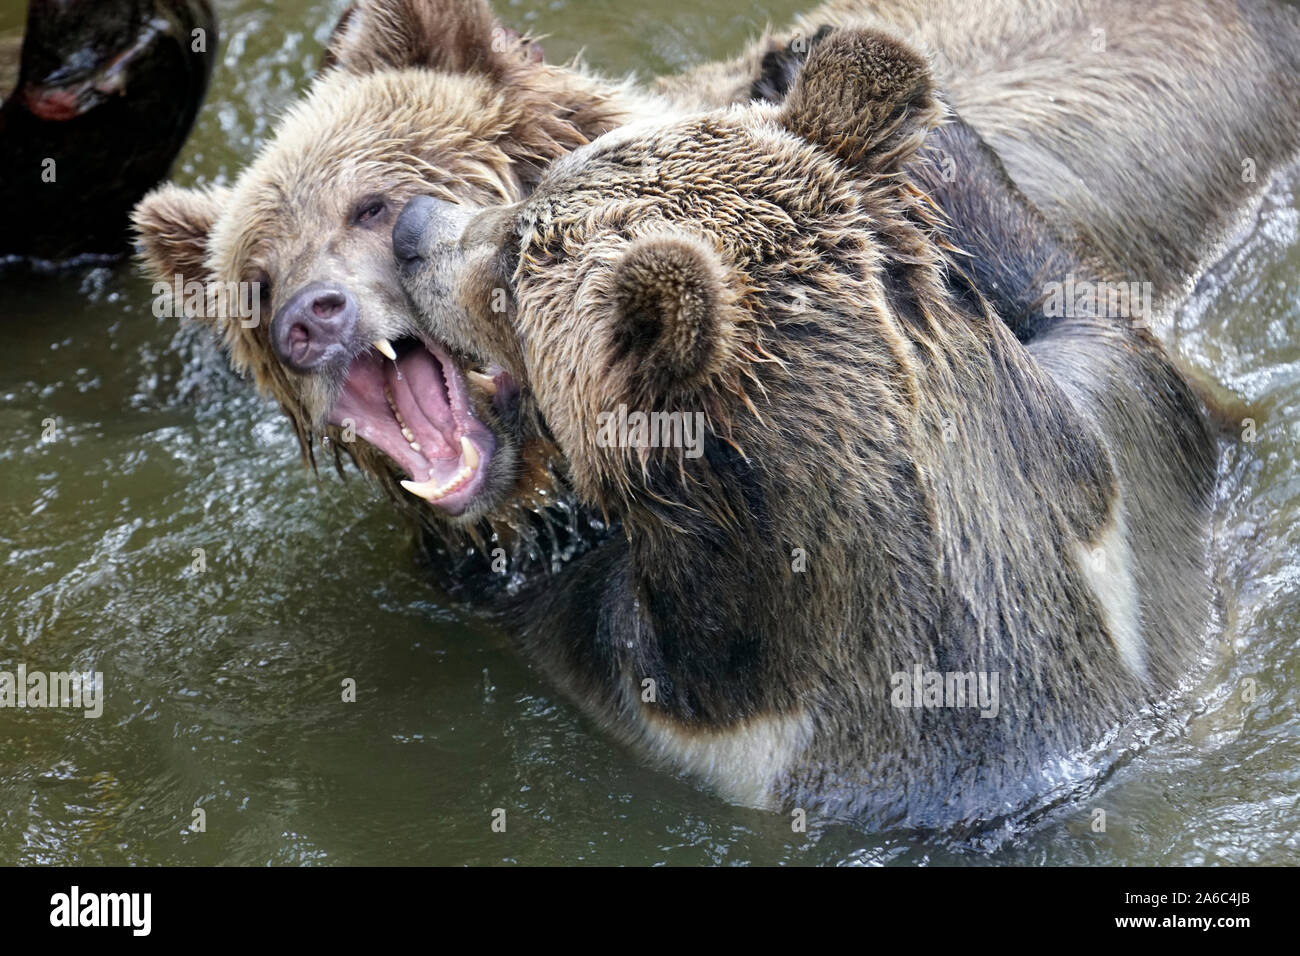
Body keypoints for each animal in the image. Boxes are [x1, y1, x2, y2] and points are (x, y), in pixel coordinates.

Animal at [387, 27, 1227, 829]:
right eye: (537, 189)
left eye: (513, 262)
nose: (412, 227)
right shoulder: (1122, 449)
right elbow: (1076, 295)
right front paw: (811, 62)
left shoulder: (663, 675)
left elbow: (522, 583)